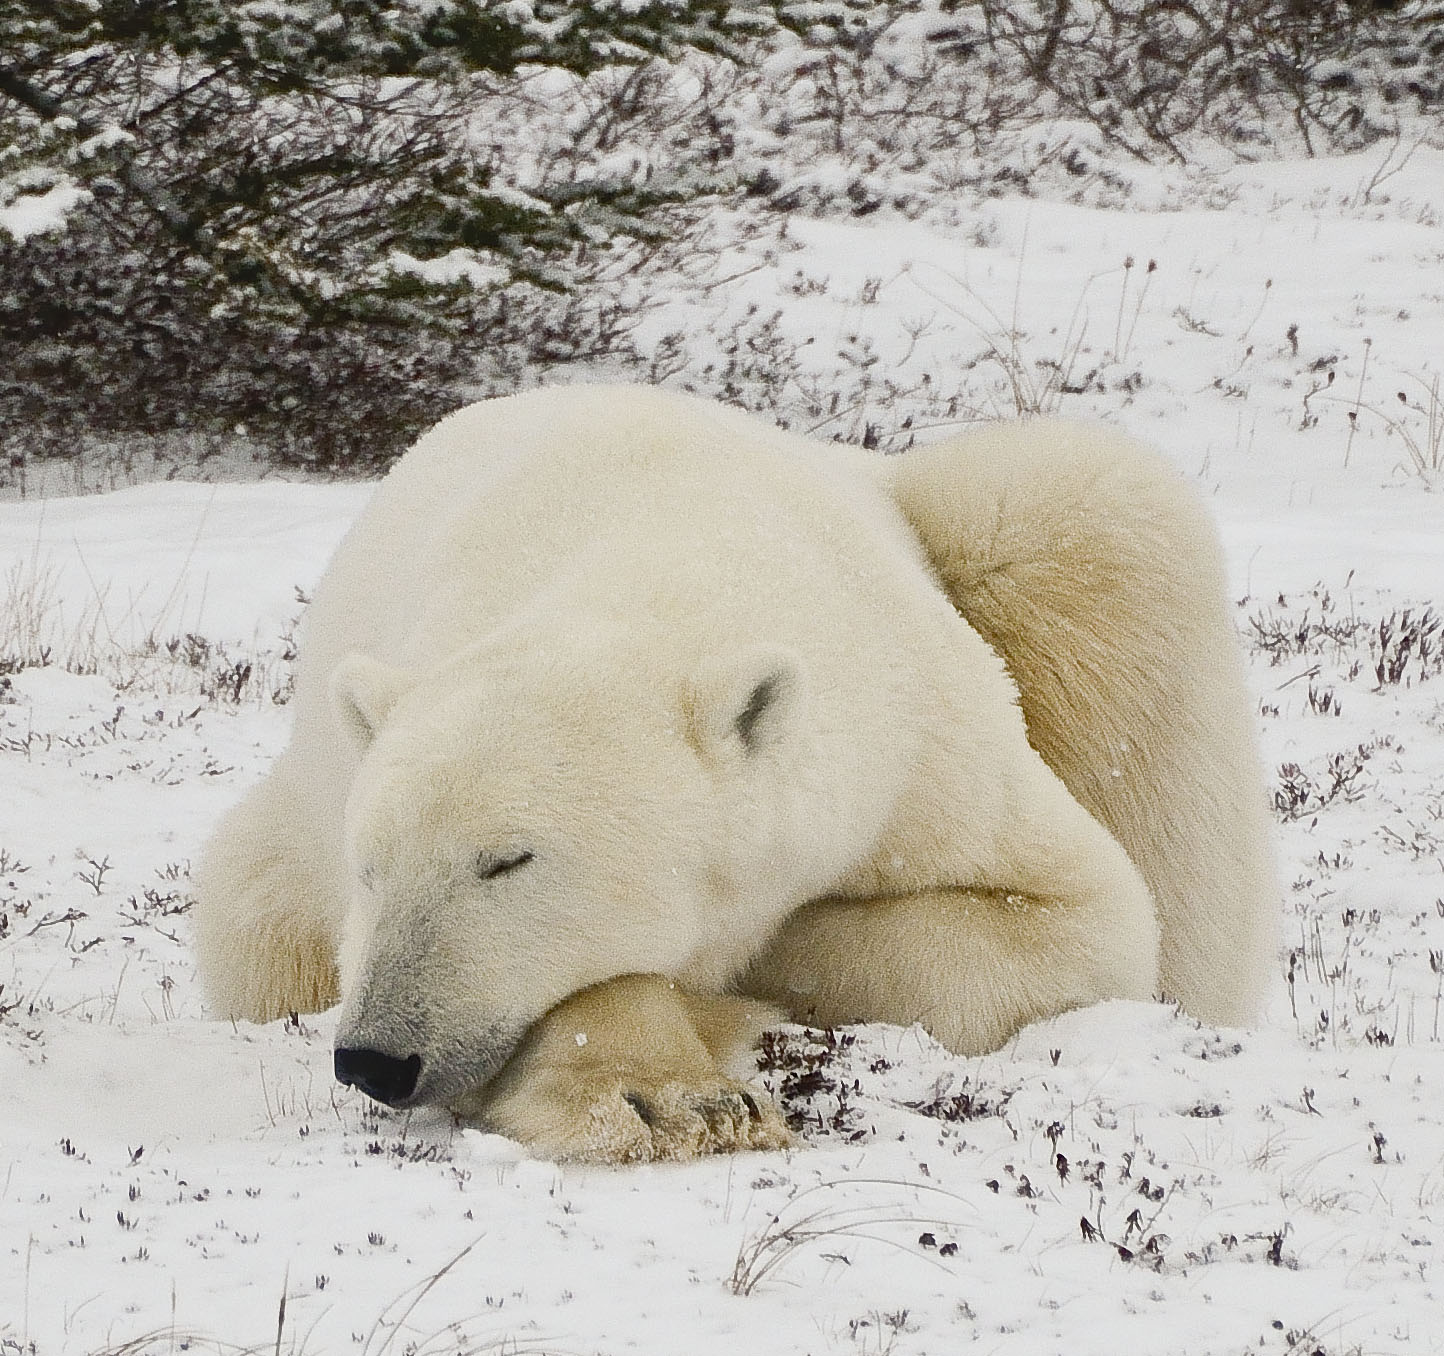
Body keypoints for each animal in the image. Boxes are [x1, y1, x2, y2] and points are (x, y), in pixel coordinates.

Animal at [193, 384, 1274, 1163]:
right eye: (369, 867)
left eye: (507, 860)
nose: (377, 1056)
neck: (665, 554)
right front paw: (659, 1084)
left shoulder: (919, 740)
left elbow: (1081, 917)